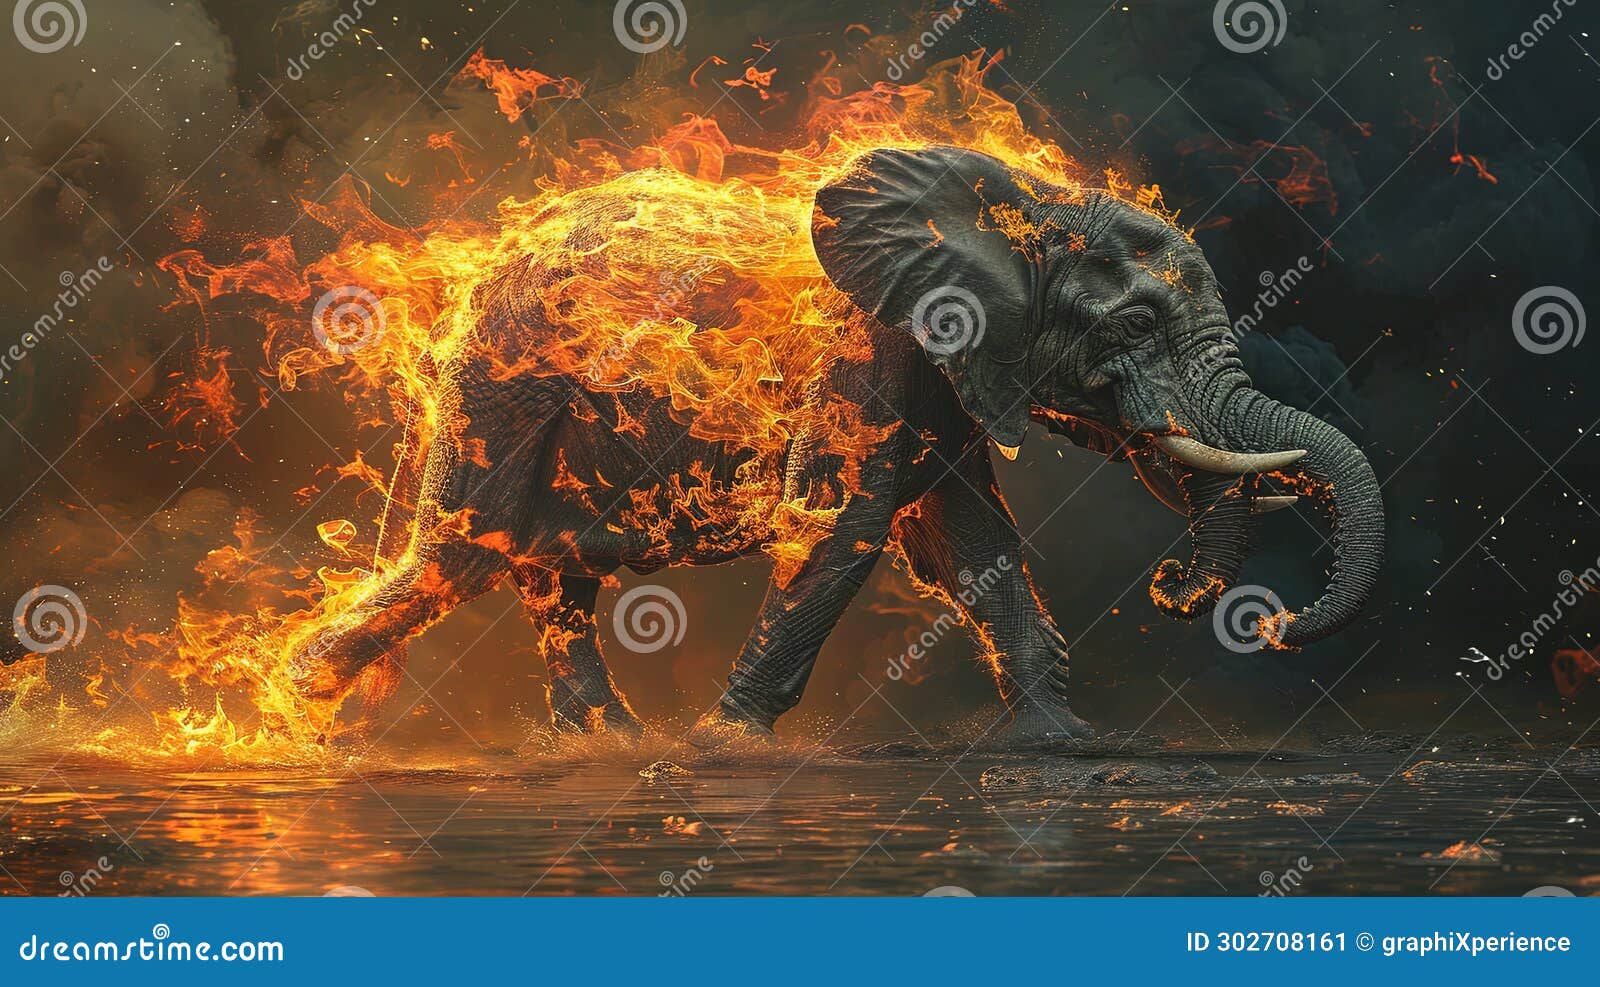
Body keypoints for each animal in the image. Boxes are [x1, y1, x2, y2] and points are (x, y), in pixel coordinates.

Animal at [289, 145, 1384, 745]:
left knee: (540, 566)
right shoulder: (874, 348)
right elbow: (841, 527)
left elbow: (971, 541)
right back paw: (300, 707)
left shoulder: (945, 368)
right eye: (1136, 325)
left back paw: (597, 742)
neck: (1018, 200)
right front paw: (721, 751)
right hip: (502, 385)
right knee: (460, 552)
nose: (1181, 591)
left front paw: (1060, 740)